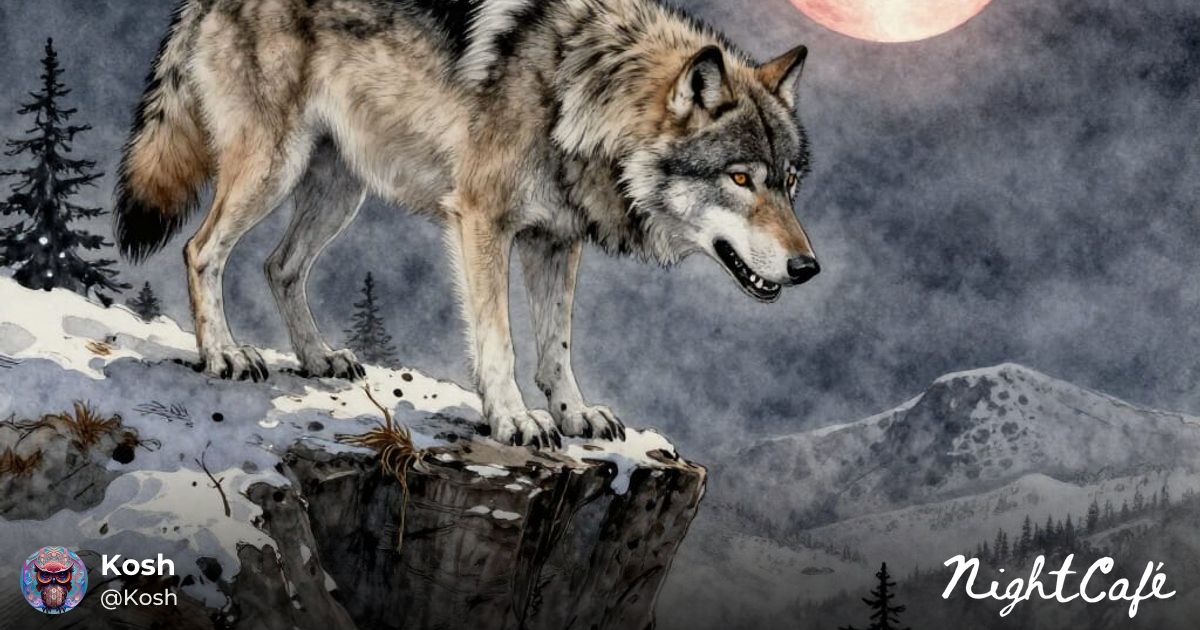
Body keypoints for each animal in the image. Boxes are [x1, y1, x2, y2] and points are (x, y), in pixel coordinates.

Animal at [114, 0, 820, 447]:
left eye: (788, 183)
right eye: (740, 179)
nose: (808, 267)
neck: (576, 89)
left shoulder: (556, 241)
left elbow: (556, 347)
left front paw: (573, 415)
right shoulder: (481, 221)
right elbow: (499, 343)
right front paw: (514, 421)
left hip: (340, 192)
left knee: (278, 266)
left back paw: (317, 358)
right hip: (270, 169)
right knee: (201, 250)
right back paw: (224, 354)